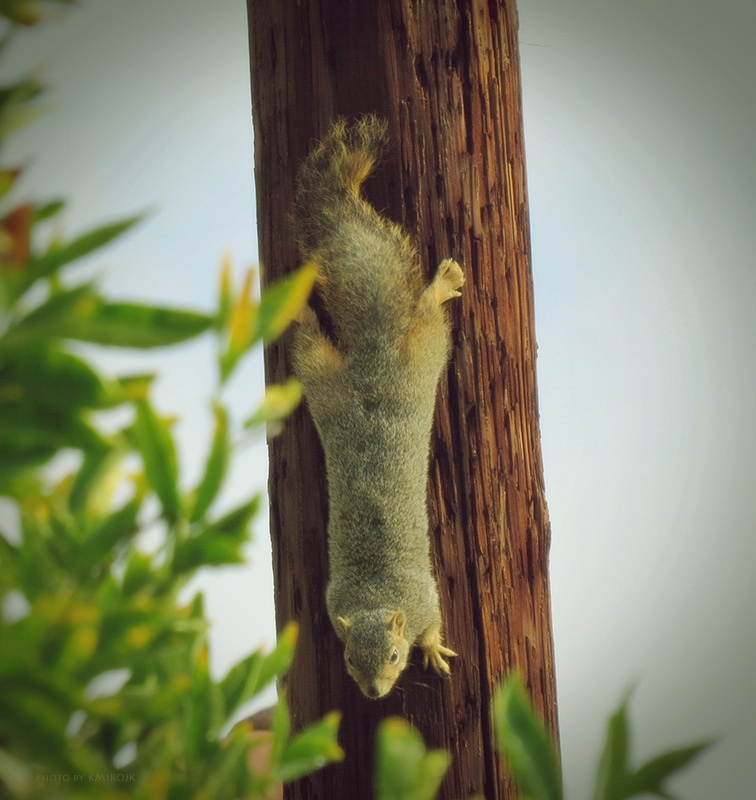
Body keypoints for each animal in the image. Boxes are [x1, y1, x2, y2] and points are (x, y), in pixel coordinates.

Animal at [290, 116, 463, 699]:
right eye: (348, 659)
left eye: (393, 654)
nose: (373, 694)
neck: (374, 597)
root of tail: (375, 354)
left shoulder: (426, 599)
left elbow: (432, 626)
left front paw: (432, 651)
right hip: (324, 383)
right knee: (310, 345)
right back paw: (296, 308)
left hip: (424, 358)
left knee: (430, 316)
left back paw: (445, 283)